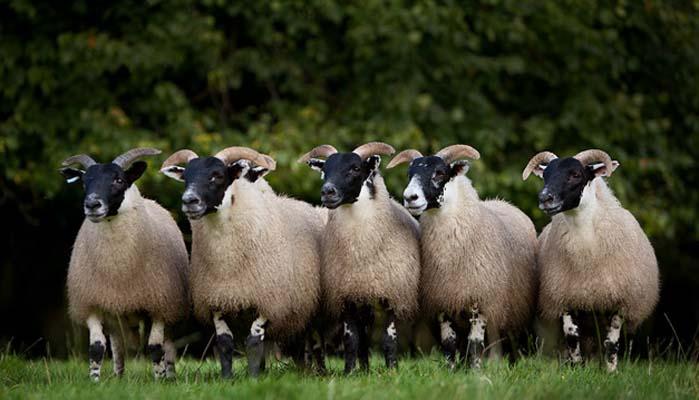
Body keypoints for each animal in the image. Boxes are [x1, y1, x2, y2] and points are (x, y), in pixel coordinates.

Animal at [59, 148, 189, 381]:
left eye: (118, 180)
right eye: (84, 182)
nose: (92, 205)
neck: (118, 268)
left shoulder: (159, 303)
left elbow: (155, 347)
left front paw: (160, 381)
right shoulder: (93, 302)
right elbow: (96, 348)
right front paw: (95, 381)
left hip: (169, 308)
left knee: (168, 344)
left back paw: (170, 375)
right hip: (115, 312)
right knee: (117, 346)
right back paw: (118, 376)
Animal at [160, 146, 325, 378]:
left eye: (217, 175)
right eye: (186, 178)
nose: (189, 201)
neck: (227, 261)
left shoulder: (267, 300)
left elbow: (254, 342)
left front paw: (254, 378)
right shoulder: (217, 299)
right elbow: (225, 343)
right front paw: (227, 378)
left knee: (315, 342)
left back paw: (318, 372)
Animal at [298, 142, 421, 373]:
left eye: (355, 168)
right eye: (324, 170)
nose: (327, 191)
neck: (360, 248)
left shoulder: (391, 292)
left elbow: (389, 339)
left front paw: (392, 370)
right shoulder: (345, 294)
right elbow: (350, 339)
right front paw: (348, 371)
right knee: (356, 337)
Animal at [387, 145, 538, 369]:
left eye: (440, 173)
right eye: (409, 174)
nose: (410, 197)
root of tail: (504, 202)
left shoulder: (480, 302)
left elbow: (475, 344)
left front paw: (475, 372)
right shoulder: (443, 302)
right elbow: (449, 344)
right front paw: (451, 371)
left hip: (516, 311)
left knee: (513, 344)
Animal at [522, 149, 659, 372]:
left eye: (576, 174)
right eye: (545, 175)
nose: (544, 198)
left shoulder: (621, 301)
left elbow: (611, 343)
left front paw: (611, 371)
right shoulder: (565, 296)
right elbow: (572, 337)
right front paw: (575, 369)